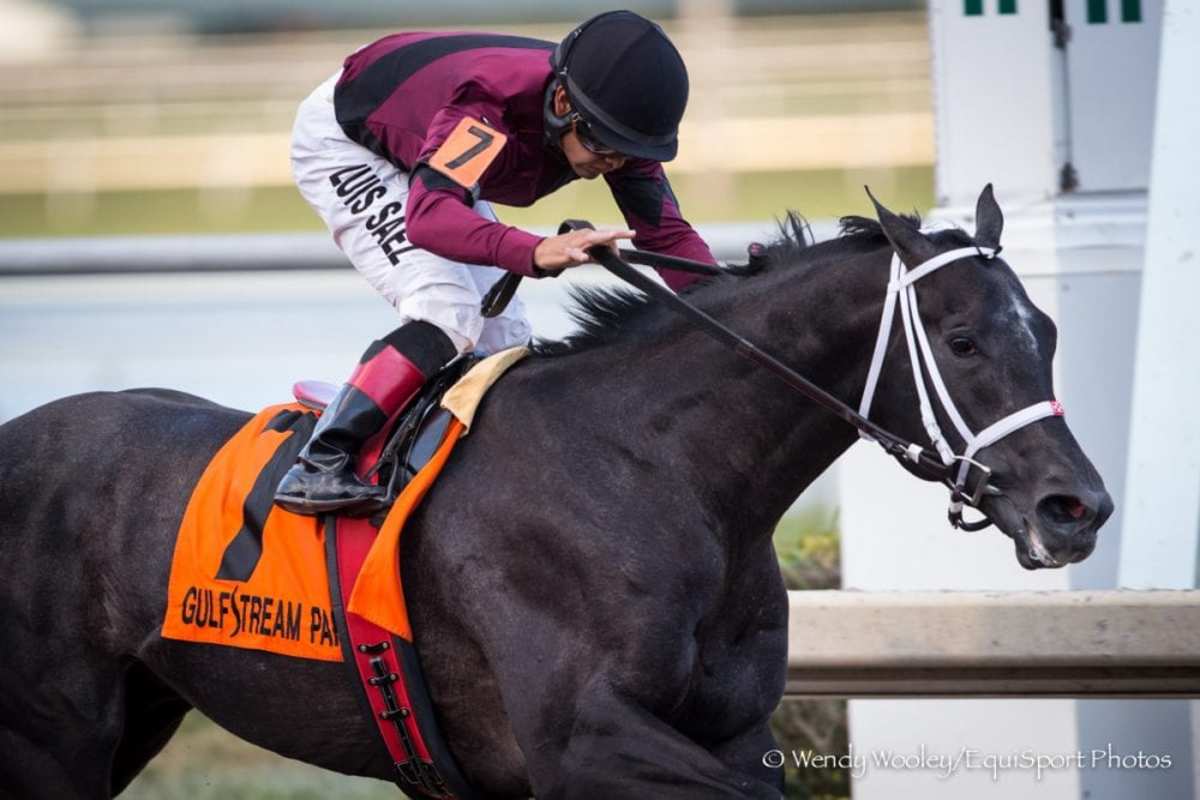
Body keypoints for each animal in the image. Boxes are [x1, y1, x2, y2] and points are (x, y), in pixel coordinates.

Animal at [0, 186, 1112, 799]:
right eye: (962, 340)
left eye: (1051, 330)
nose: (1079, 509)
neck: (663, 473)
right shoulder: (580, 741)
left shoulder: (732, 729)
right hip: (52, 738)